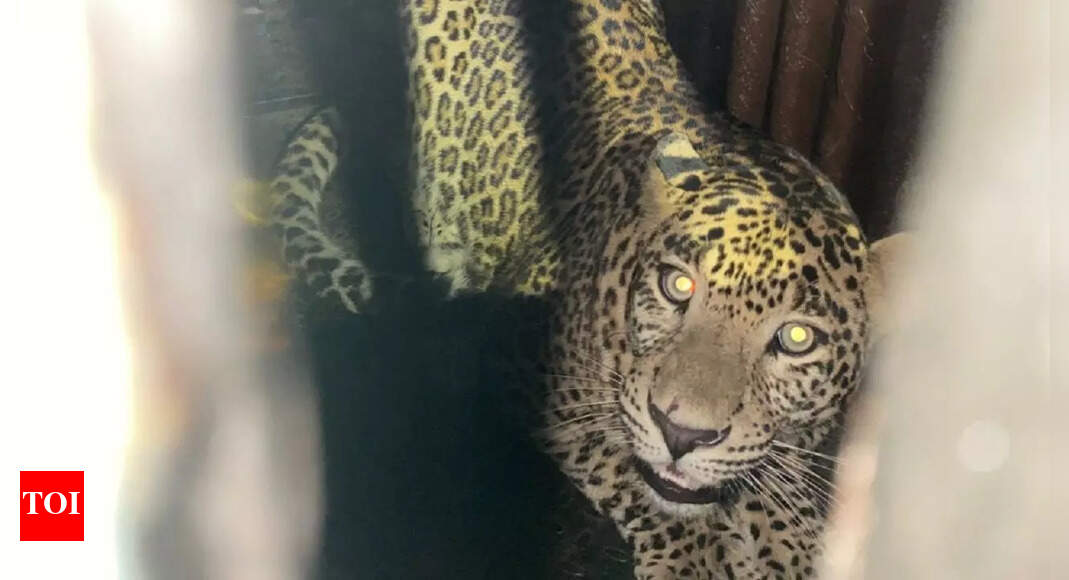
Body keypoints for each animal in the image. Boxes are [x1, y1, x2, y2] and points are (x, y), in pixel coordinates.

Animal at [266, 0, 909, 577]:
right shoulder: (520, 363)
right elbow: (616, 459)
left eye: (797, 338)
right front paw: (692, 555)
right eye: (677, 286)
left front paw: (792, 543)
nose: (682, 434)